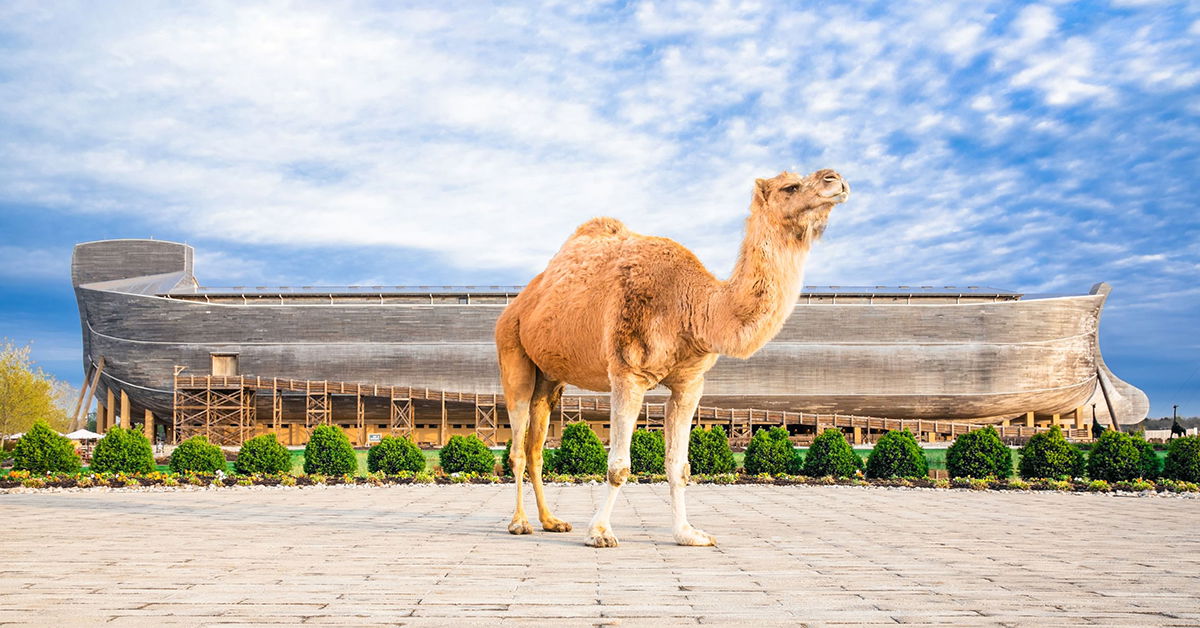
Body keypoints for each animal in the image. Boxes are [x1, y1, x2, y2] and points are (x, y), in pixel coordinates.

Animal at [495, 169, 849, 547]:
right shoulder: (627, 373)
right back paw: (519, 523)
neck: (694, 304)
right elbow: (619, 465)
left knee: (536, 445)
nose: (836, 179)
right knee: (517, 444)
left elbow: (680, 466)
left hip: (550, 376)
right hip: (512, 350)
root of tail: (517, 305)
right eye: (790, 186)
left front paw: (689, 533)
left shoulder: (690, 383)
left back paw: (551, 521)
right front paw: (601, 532)